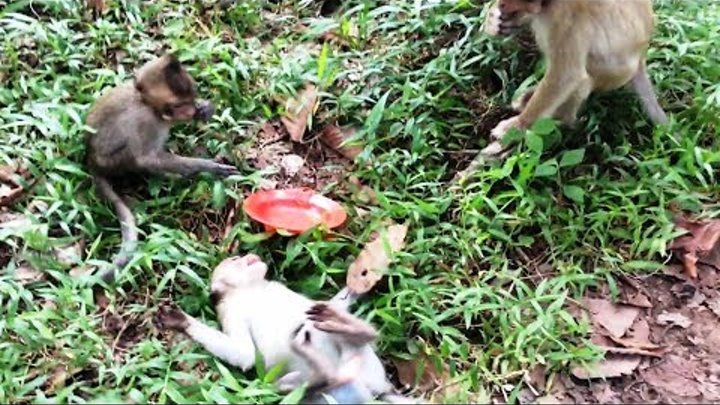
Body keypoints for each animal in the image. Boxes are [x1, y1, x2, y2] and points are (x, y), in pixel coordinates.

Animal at [85, 54, 238, 284]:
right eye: (180, 104)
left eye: (190, 99)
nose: (191, 109)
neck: (147, 104)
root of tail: (91, 162)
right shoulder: (146, 122)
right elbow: (147, 159)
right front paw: (208, 166)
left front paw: (204, 109)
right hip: (113, 161)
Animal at [155, 253, 411, 403]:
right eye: (236, 259)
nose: (250, 255)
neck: (250, 289)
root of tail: (379, 388)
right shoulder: (231, 310)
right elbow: (245, 355)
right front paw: (182, 322)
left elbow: (327, 304)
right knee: (278, 385)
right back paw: (321, 374)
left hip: (361, 365)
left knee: (326, 330)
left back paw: (355, 331)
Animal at [477, 0, 669, 159]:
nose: (503, 5)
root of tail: (641, 60)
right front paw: (494, 20)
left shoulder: (566, 15)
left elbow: (567, 74)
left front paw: (517, 126)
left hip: (613, 72)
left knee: (582, 80)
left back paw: (559, 121)